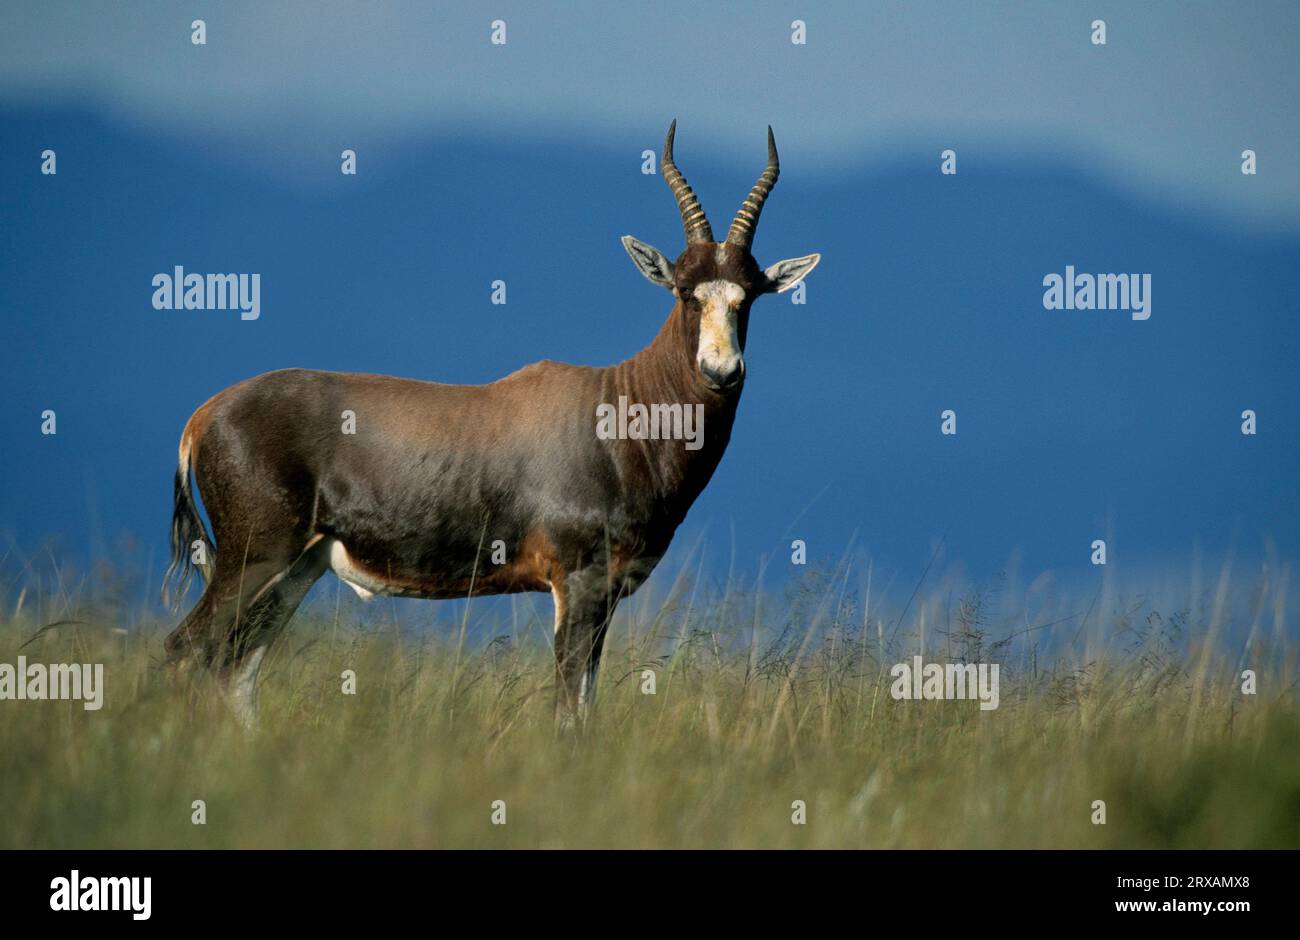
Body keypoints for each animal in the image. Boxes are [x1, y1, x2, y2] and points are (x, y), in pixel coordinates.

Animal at [162, 121, 821, 728]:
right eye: (685, 290)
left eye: (749, 294)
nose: (721, 372)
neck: (619, 405)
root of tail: (203, 416)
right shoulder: (577, 583)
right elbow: (567, 711)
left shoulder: (606, 594)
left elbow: (586, 705)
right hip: (252, 559)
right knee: (183, 649)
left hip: (296, 569)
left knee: (235, 669)